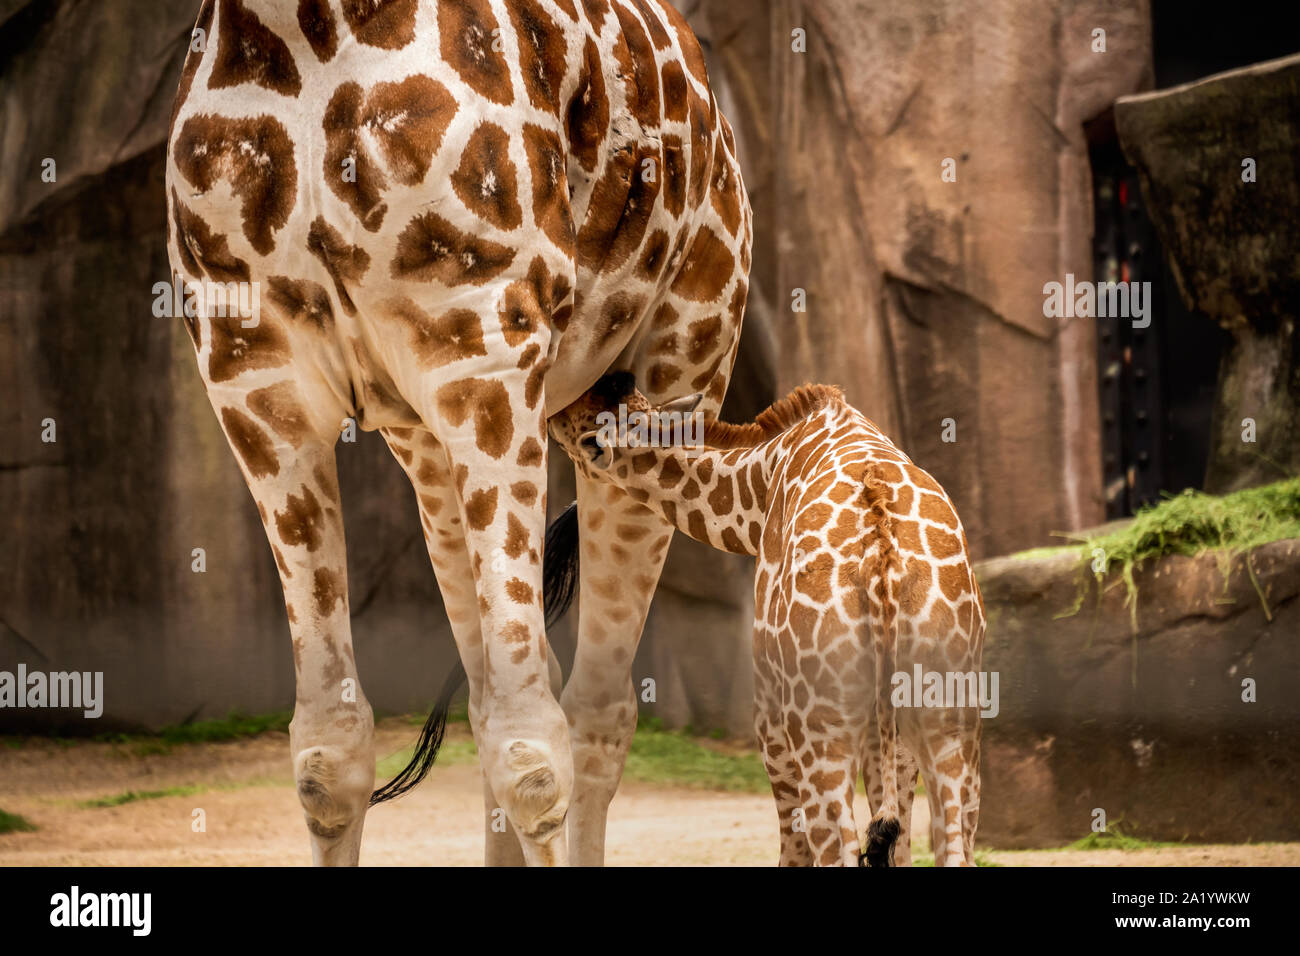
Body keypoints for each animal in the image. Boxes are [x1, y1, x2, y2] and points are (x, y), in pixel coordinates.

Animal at [165, 0, 751, 865]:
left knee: (596, 712)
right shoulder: (254, 377)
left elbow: (532, 751)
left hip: (672, 381)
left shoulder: (486, 345)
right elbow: (327, 752)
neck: (300, 31)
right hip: (431, 450)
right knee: (499, 694)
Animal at [551, 373, 986, 866]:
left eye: (576, 426)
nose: (550, 412)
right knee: (952, 847)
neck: (761, 477)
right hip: (949, 721)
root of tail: (882, 560)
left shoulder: (770, 714)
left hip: (819, 725)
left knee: (835, 847)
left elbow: (793, 847)